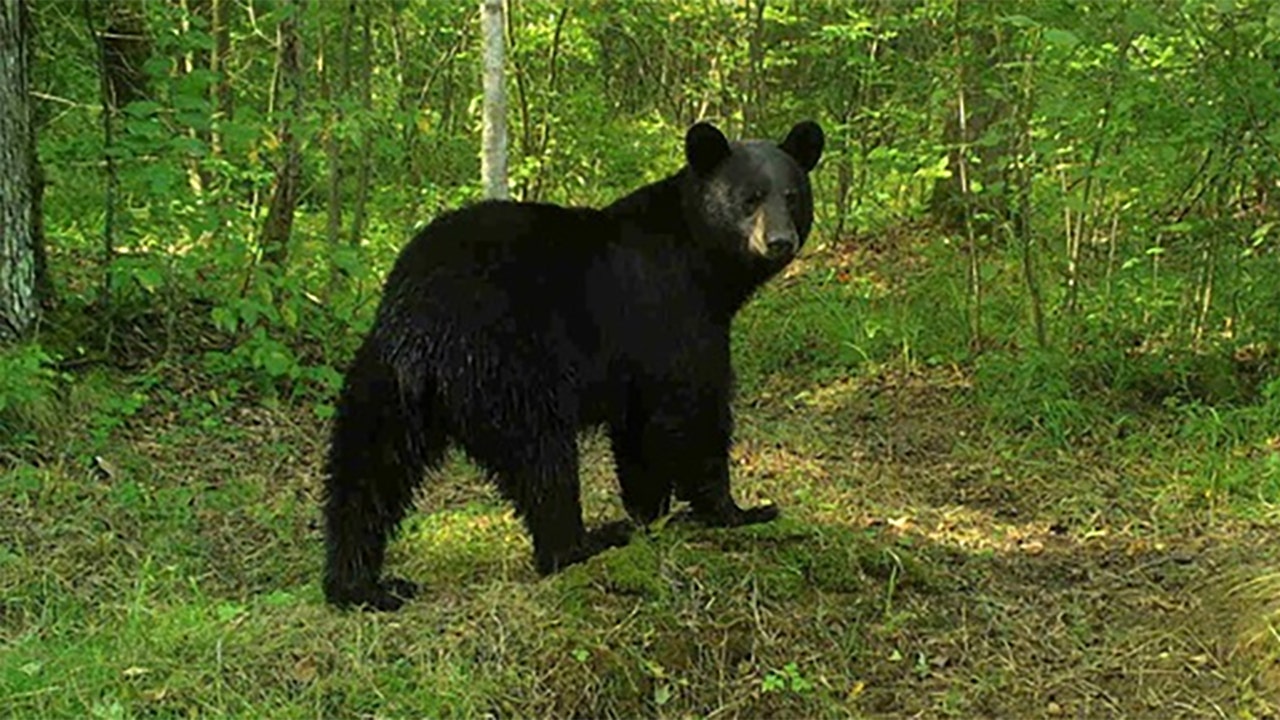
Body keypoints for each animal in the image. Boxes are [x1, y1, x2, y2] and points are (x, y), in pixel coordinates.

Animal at [322, 119, 825, 610]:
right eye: (750, 197)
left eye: (792, 195)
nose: (779, 241)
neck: (704, 264)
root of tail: (417, 311)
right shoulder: (674, 315)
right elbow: (695, 411)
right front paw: (741, 510)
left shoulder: (638, 364)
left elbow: (639, 434)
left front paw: (650, 513)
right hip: (506, 365)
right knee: (542, 457)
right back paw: (583, 543)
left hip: (388, 380)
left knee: (366, 469)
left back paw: (361, 585)